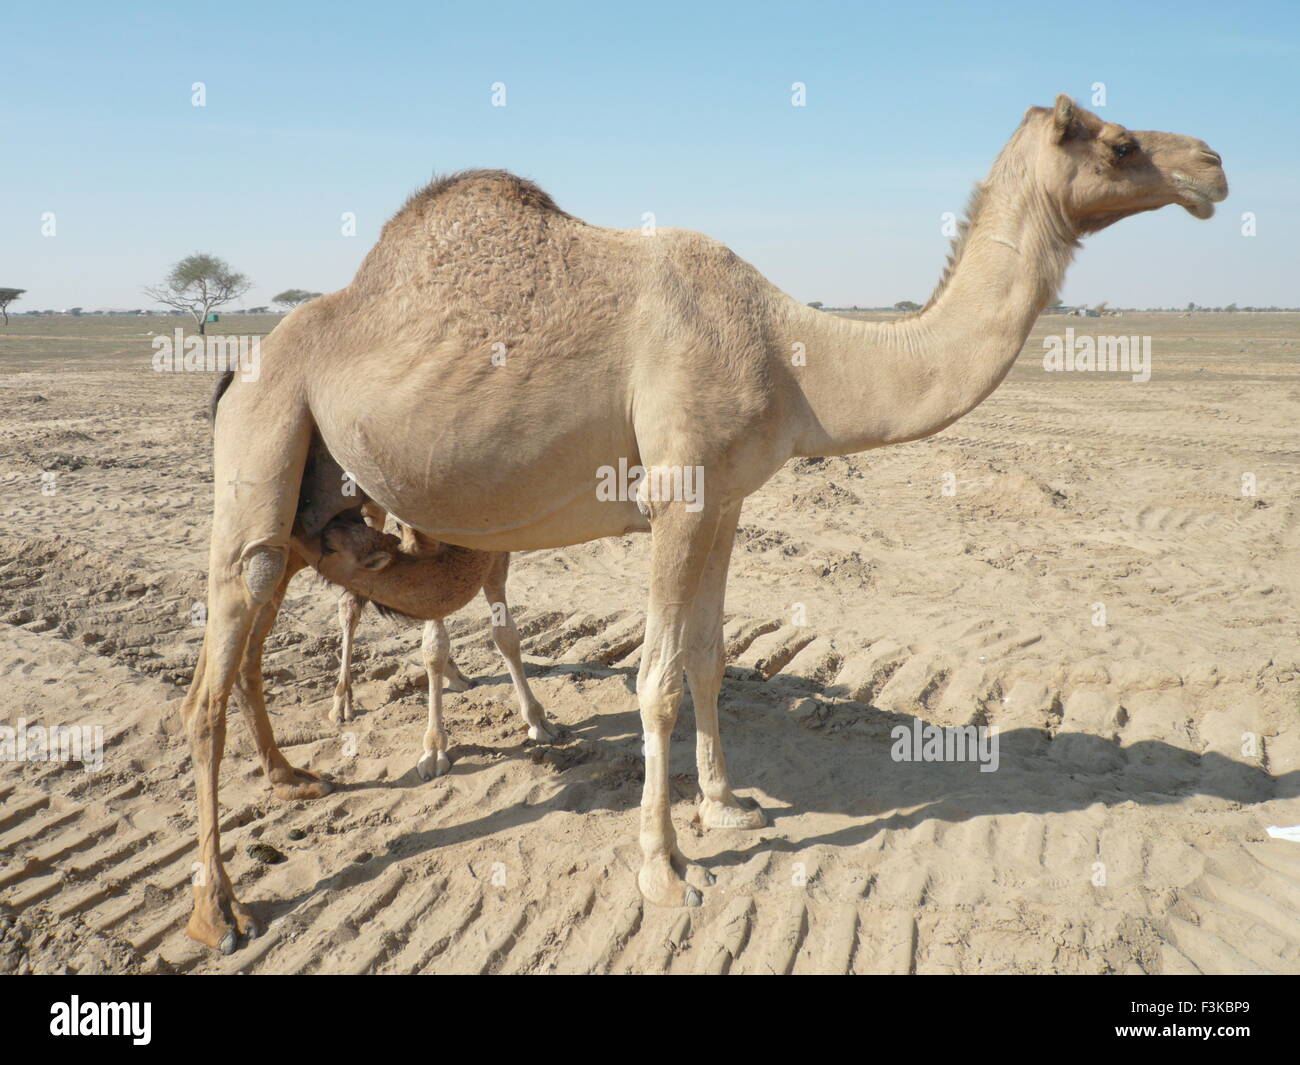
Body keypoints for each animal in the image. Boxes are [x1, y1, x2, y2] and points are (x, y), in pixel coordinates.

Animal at [185, 95, 1226, 952]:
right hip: (266, 438)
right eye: (1120, 141)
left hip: (309, 492)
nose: (1214, 163)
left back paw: (293, 778)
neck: (793, 352)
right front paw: (663, 870)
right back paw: (219, 909)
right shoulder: (677, 496)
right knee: (209, 680)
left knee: (255, 630)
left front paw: (726, 808)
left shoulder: (726, 499)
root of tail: (242, 365)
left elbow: (708, 656)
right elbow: (652, 680)